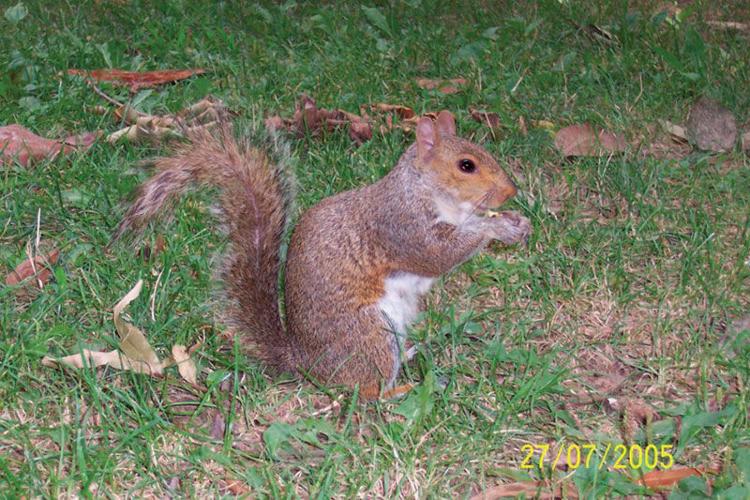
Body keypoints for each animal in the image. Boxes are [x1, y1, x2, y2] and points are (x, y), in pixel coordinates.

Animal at [113, 110, 530, 400]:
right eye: (466, 165)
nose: (511, 192)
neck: (425, 191)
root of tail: (305, 362)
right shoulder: (400, 227)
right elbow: (438, 256)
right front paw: (498, 229)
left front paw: (512, 221)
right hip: (369, 336)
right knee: (365, 391)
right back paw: (400, 392)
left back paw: (411, 356)